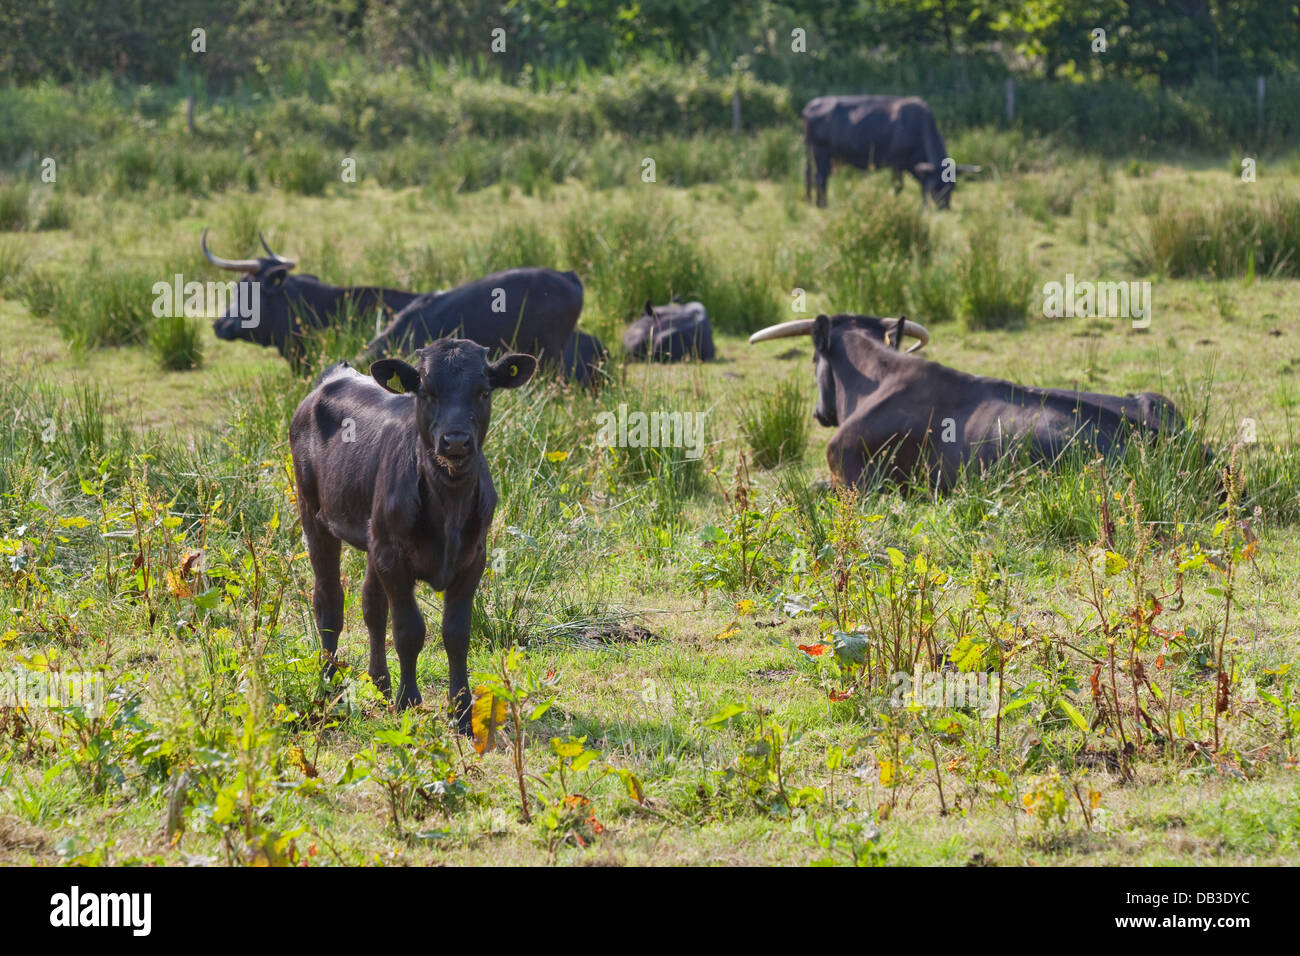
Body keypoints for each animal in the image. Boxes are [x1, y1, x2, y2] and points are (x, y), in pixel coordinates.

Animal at [289, 340, 536, 732]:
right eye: (426, 391)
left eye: (483, 392)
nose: (455, 441)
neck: (449, 502)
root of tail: (336, 374)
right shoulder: (394, 557)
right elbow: (409, 630)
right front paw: (409, 703)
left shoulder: (473, 559)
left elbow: (456, 633)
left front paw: (461, 712)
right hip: (314, 513)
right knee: (329, 601)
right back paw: (329, 684)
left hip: (373, 536)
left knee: (372, 605)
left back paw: (380, 685)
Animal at [802, 95, 981, 208]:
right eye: (934, 187)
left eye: (952, 187)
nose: (944, 207)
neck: (918, 126)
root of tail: (811, 105)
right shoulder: (896, 162)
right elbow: (898, 186)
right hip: (821, 152)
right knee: (821, 178)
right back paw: (823, 205)